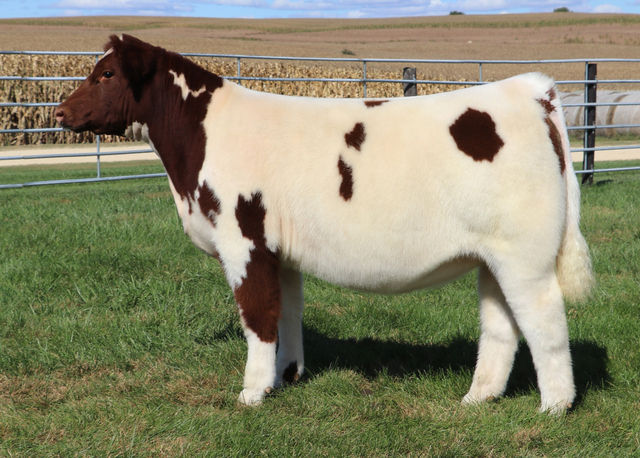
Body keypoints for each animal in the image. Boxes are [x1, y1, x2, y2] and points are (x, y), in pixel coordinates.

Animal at [55, 34, 594, 414]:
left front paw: (251, 393)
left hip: (525, 254)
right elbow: (287, 313)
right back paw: (478, 397)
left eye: (106, 73)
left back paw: (554, 406)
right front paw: (287, 375)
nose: (60, 111)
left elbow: (257, 315)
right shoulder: (280, 251)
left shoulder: (243, 240)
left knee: (544, 317)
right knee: (501, 323)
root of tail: (529, 89)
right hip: (492, 255)